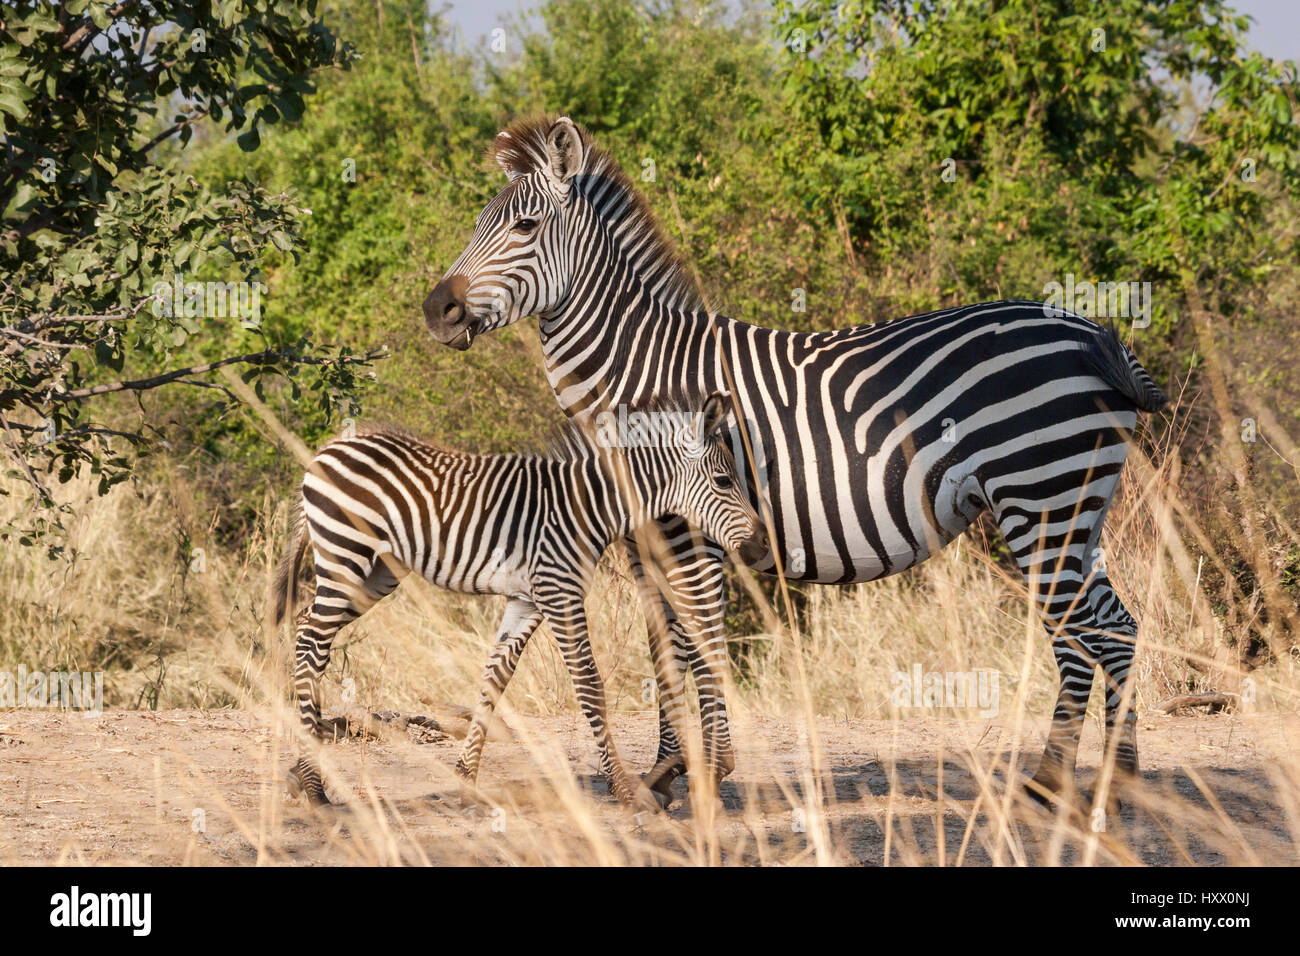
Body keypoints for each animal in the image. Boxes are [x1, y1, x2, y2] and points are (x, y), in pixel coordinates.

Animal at [271, 393, 766, 809]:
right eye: (724, 480)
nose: (761, 547)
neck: (588, 506)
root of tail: (328, 449)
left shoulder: (526, 600)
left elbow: (495, 677)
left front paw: (465, 776)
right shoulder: (559, 591)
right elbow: (590, 686)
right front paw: (626, 791)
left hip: (374, 574)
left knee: (306, 632)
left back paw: (302, 769)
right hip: (345, 556)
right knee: (311, 643)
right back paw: (314, 785)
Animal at [422, 116, 1167, 808]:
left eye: (524, 226)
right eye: (479, 223)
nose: (436, 311)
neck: (640, 379)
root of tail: (1094, 330)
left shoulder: (695, 524)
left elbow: (700, 635)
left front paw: (707, 772)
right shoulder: (644, 535)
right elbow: (663, 643)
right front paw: (667, 768)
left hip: (1039, 496)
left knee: (1075, 636)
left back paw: (1048, 784)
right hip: (1077, 507)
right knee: (1117, 628)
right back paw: (1122, 780)